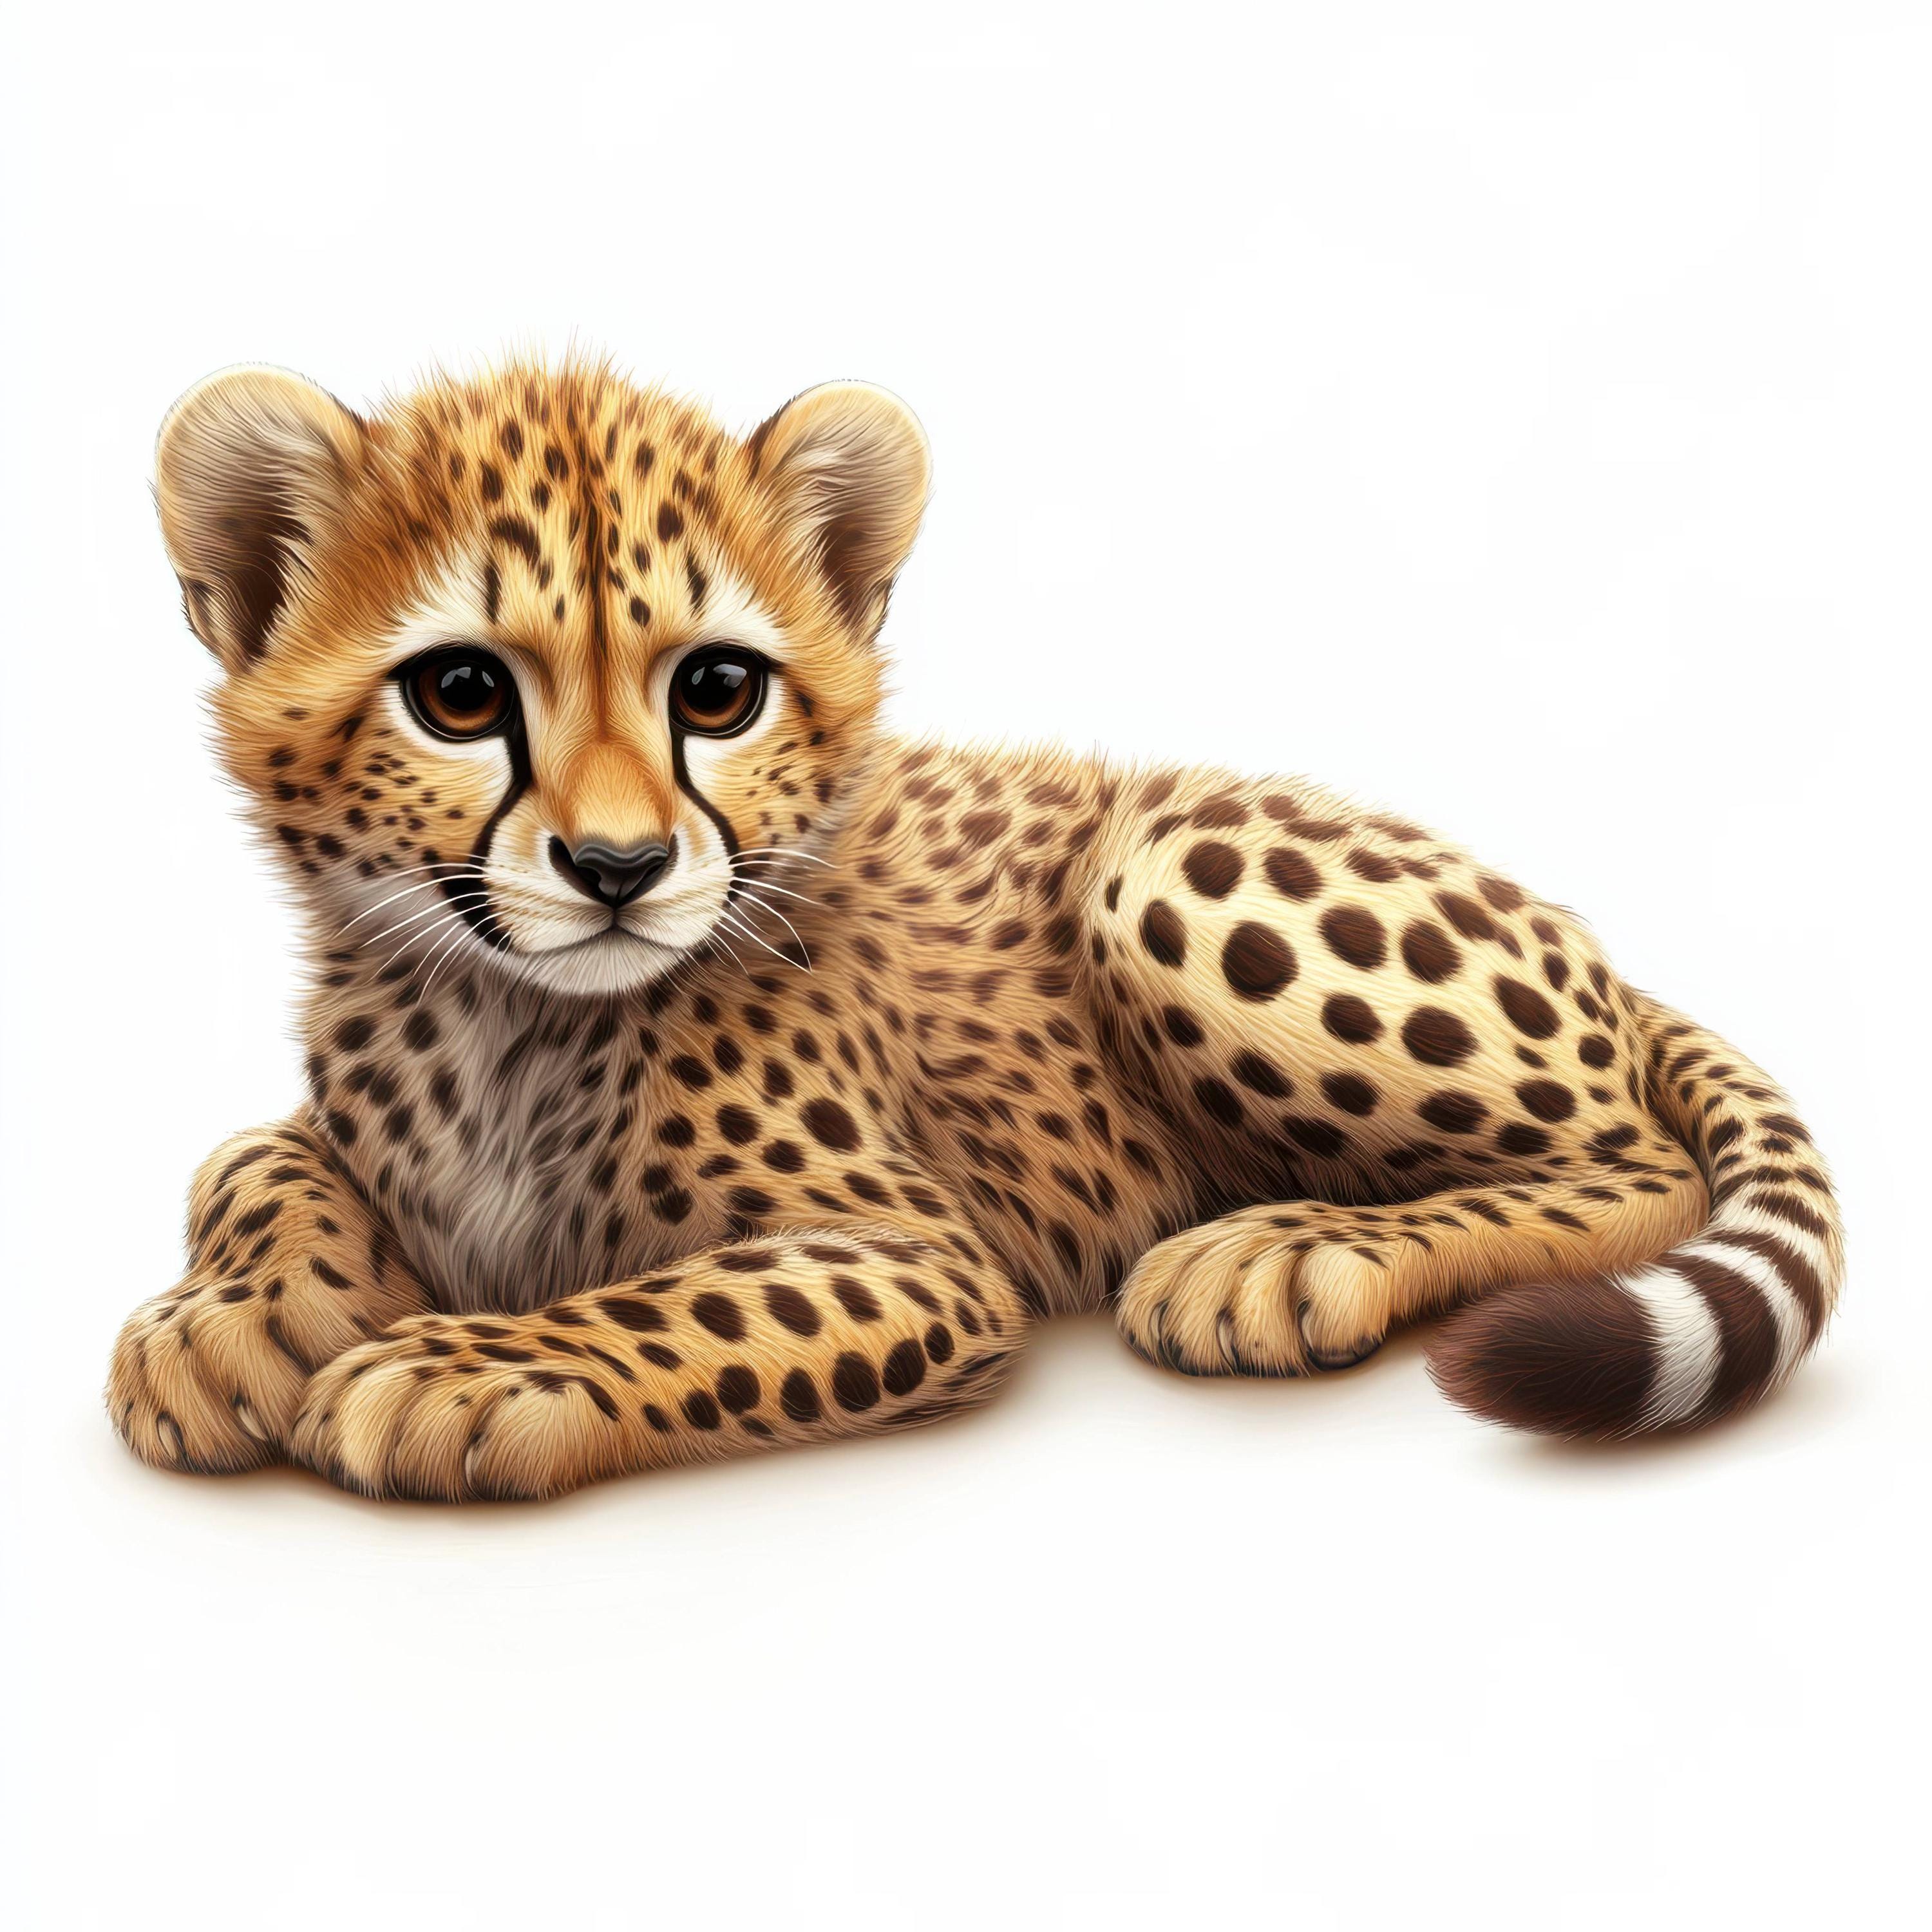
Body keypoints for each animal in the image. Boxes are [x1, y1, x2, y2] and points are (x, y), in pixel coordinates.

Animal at [105, 354, 1845, 1500]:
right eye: (460, 693)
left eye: (716, 690)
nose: (616, 866)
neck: (505, 1012)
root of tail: (1578, 939)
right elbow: (245, 1161)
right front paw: (222, 1322)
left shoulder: (917, 1251)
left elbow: (684, 1300)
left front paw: (472, 1366)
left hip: (1166, 867)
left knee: (1634, 1160)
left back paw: (1295, 1245)